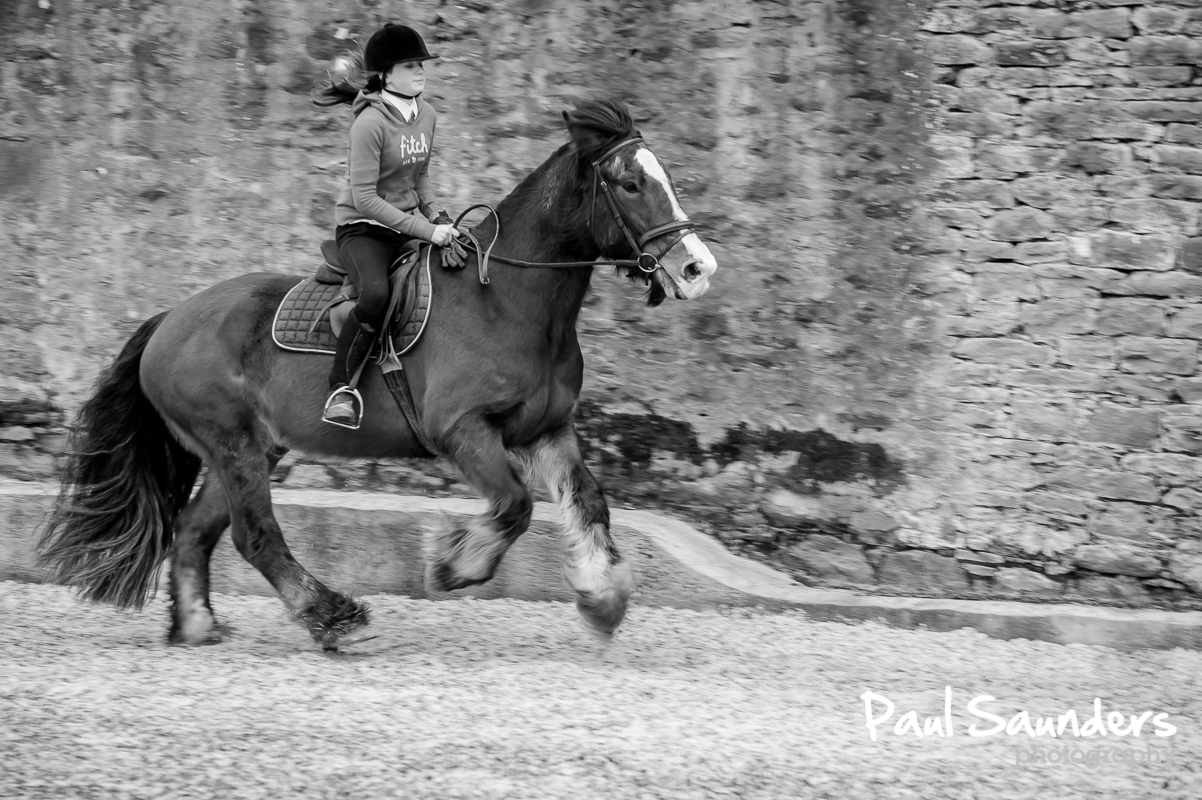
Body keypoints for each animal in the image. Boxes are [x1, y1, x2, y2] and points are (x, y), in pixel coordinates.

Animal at [36, 99, 718, 649]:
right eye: (628, 182)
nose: (697, 268)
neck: (509, 301)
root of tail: (169, 320)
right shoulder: (463, 431)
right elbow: (515, 505)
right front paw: (451, 568)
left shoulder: (545, 430)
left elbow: (590, 504)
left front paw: (603, 601)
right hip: (230, 441)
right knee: (256, 535)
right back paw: (333, 618)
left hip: (252, 445)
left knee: (196, 528)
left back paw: (200, 625)